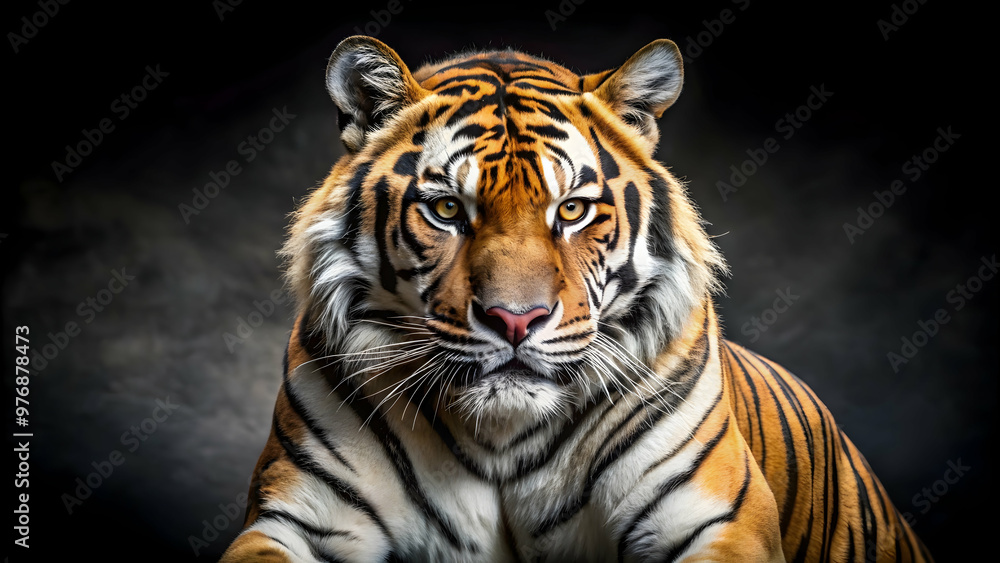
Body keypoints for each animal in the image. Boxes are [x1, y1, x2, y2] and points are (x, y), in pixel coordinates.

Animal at [220, 36, 933, 562]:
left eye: (571, 210)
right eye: (447, 210)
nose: (516, 320)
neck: (501, 436)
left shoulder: (714, 519)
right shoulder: (299, 521)